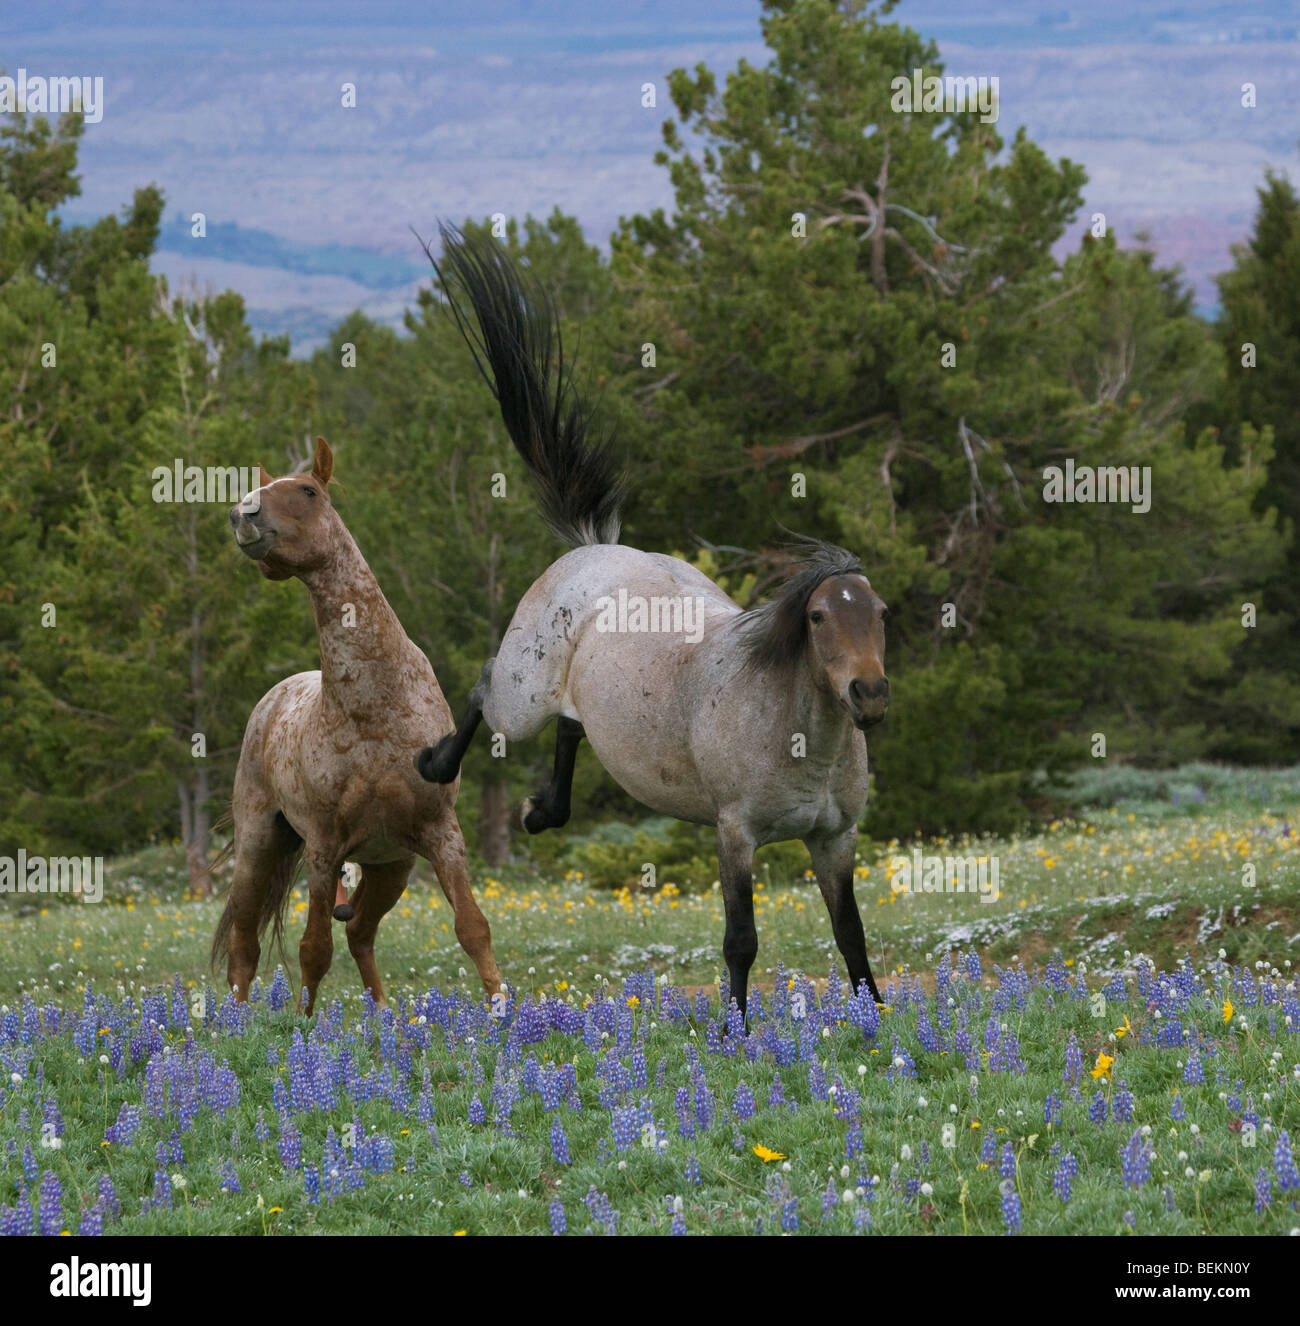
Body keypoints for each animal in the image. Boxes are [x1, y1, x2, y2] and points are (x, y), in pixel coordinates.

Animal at [211, 436, 503, 1013]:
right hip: (259, 845)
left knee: (359, 932)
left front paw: (507, 1008)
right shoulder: (324, 849)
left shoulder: (441, 833)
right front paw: (302, 1026)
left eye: (307, 490)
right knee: (246, 945)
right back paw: (233, 1022)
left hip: (391, 865)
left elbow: (472, 927)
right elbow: (313, 950)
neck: (373, 710)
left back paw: (384, 1015)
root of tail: (271, 699)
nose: (241, 514)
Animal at [414, 226, 889, 1020]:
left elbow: (851, 937)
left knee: (573, 728)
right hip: (521, 696)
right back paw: (437, 766)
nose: (869, 696)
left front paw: (879, 1022)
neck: (799, 735)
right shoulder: (736, 834)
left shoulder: (836, 841)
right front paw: (735, 1029)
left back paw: (541, 812)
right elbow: (741, 941)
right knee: (485, 690)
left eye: (881, 614)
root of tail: (591, 546)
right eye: (820, 616)